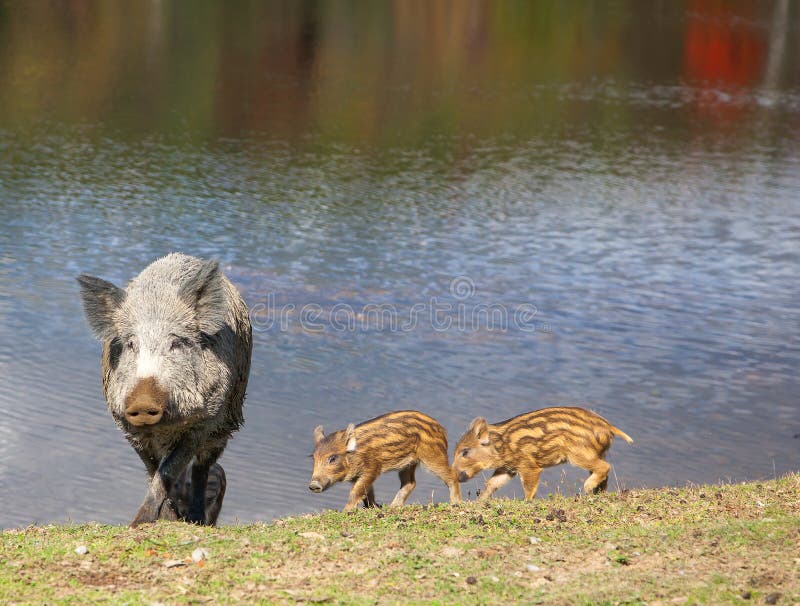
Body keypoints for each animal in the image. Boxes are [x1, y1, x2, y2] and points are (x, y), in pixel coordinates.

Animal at [77, 253, 252, 526]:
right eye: (131, 344)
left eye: (176, 343)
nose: (143, 401)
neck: (165, 427)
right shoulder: (129, 428)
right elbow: (154, 470)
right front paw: (154, 521)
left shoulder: (204, 422)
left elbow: (169, 470)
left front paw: (141, 522)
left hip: (226, 424)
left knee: (202, 468)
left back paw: (197, 519)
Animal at [309, 410, 462, 511]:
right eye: (314, 458)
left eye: (332, 458)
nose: (313, 485)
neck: (354, 455)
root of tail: (441, 428)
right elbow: (367, 492)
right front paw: (374, 507)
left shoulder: (372, 468)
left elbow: (356, 491)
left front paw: (346, 511)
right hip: (408, 464)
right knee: (410, 482)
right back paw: (394, 506)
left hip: (432, 456)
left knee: (451, 475)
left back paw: (456, 503)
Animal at [452, 407, 633, 500]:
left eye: (465, 452)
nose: (455, 476)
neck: (501, 445)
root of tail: (608, 427)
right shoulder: (508, 468)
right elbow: (492, 483)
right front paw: (479, 502)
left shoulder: (529, 466)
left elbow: (529, 488)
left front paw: (526, 502)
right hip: (596, 453)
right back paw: (596, 493)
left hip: (580, 454)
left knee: (605, 466)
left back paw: (587, 488)